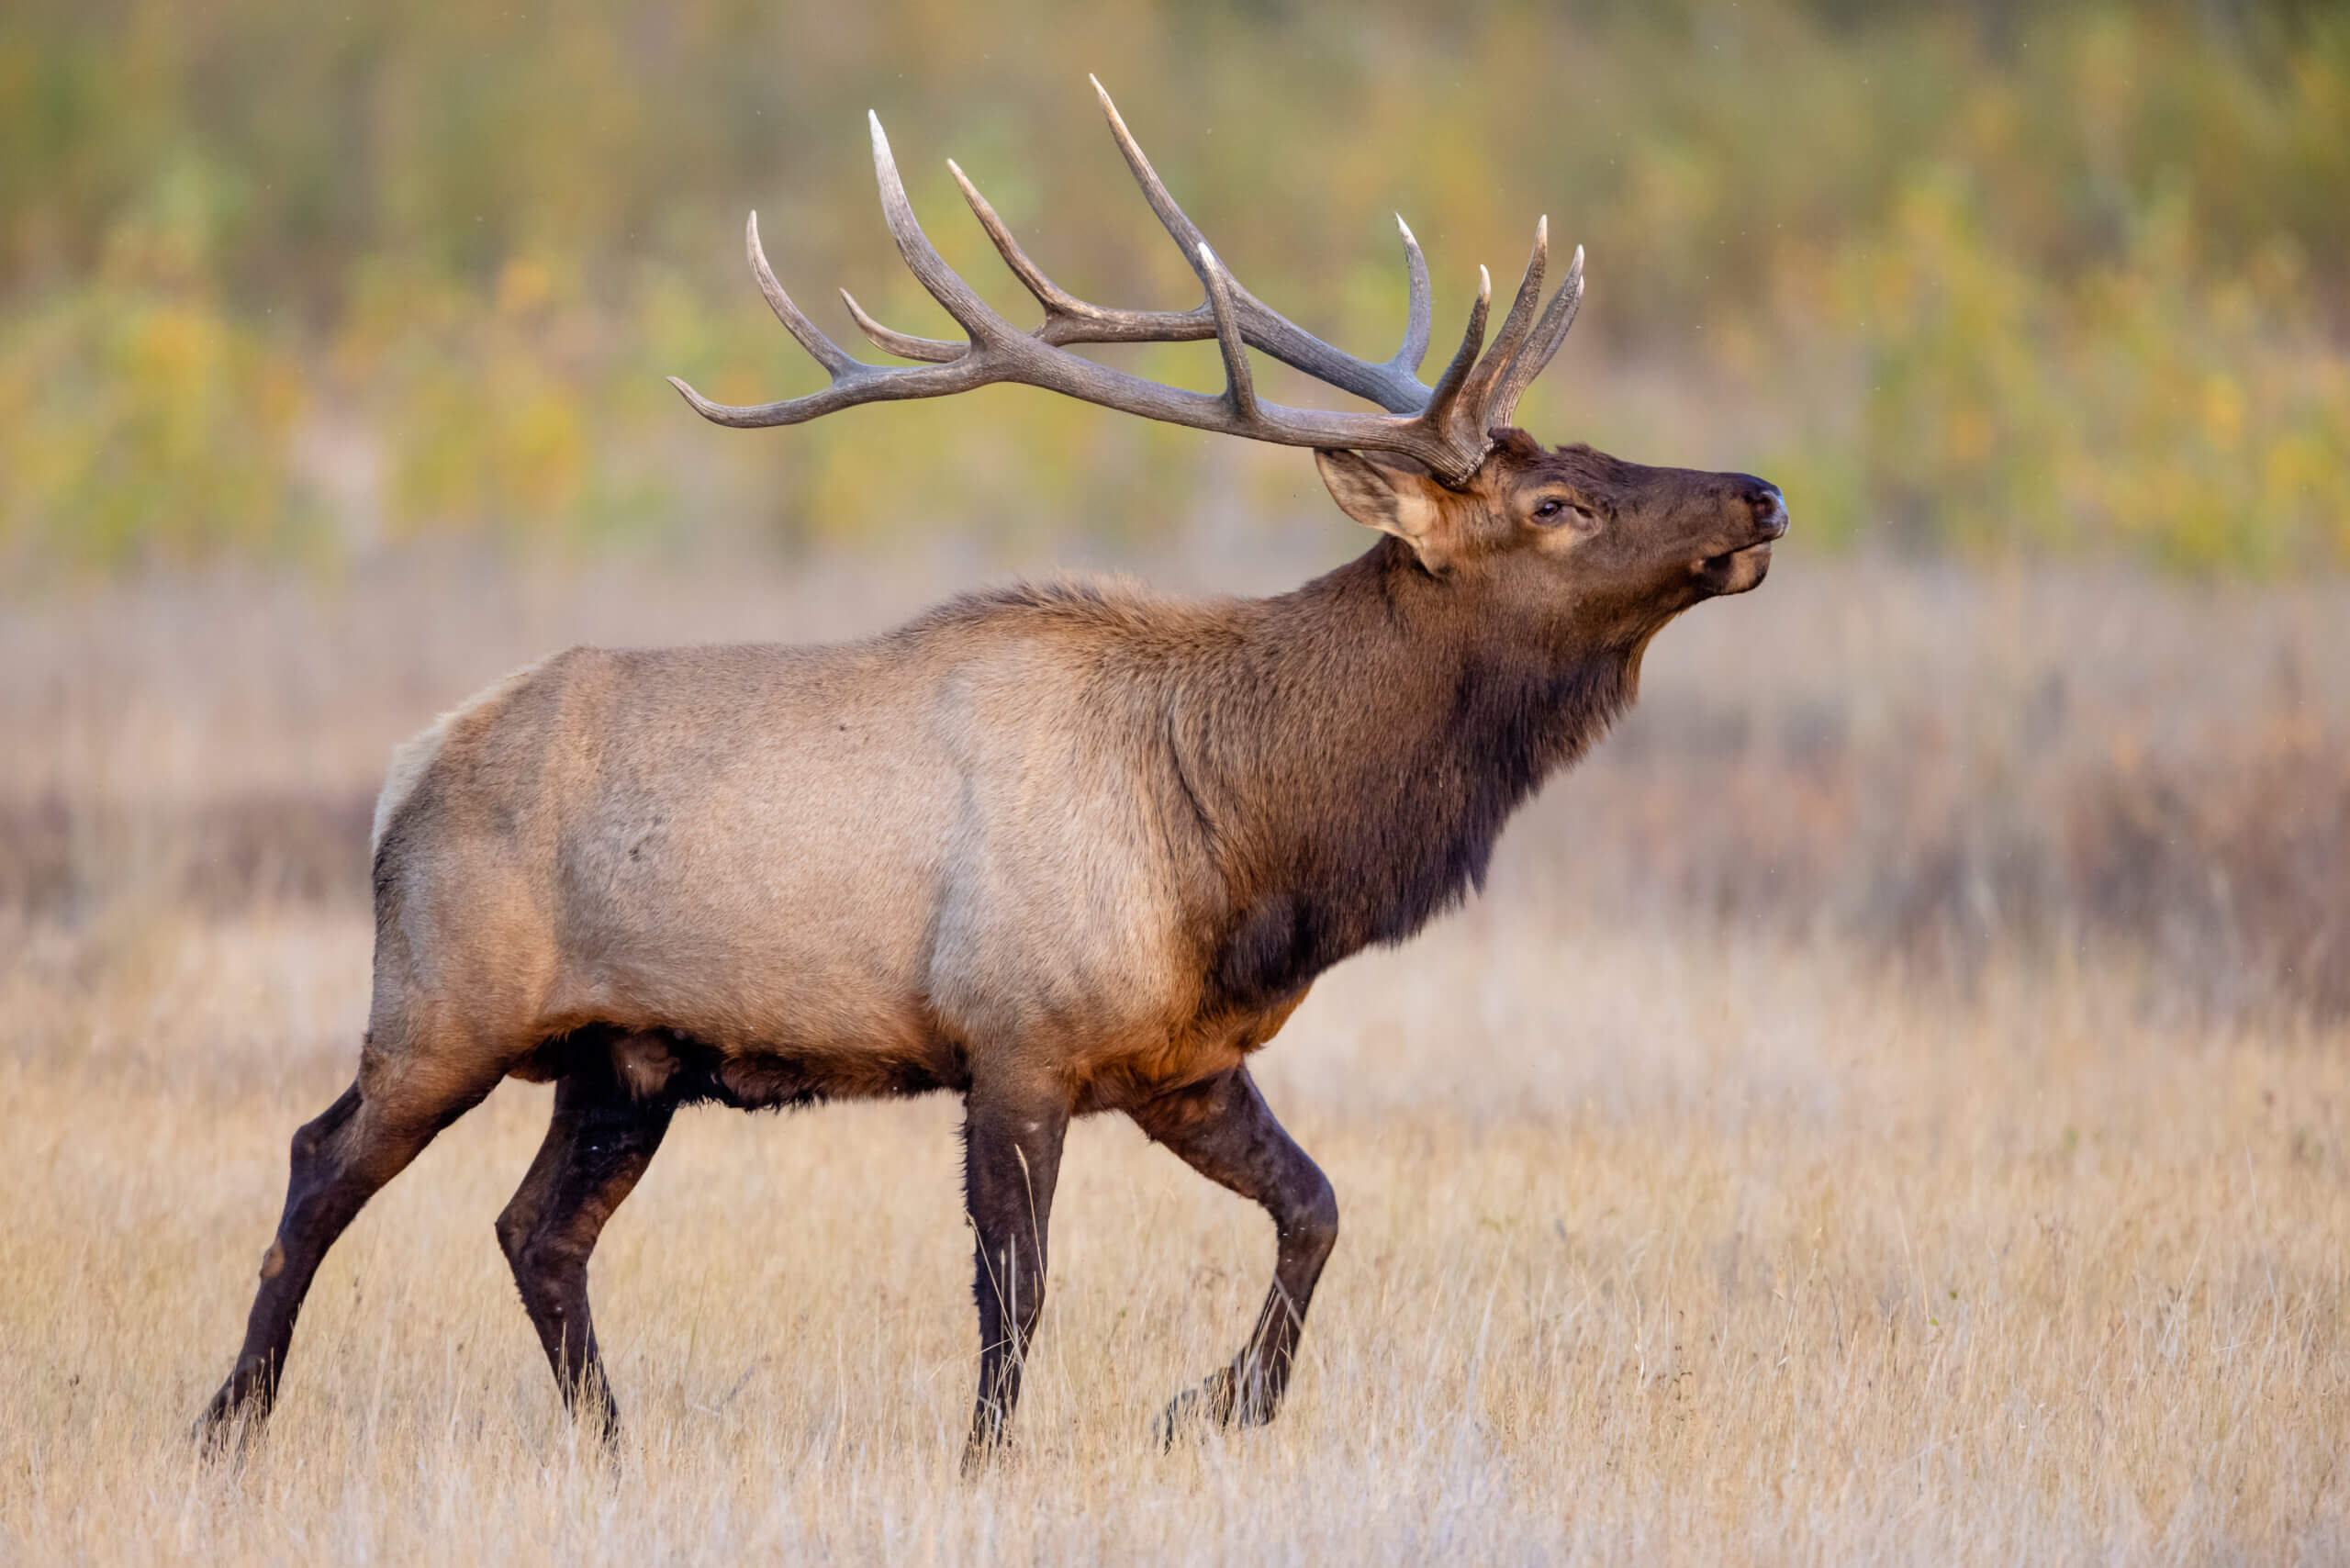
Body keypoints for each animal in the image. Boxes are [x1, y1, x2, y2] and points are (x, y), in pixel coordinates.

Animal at [197, 79, 1786, 1465]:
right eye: (1559, 502)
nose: (1760, 494)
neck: (1246, 843)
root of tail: (409, 769)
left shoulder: (1178, 1058)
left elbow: (1319, 1209)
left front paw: (1215, 1405)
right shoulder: (1014, 1035)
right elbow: (1014, 1290)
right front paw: (992, 1460)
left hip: (622, 1059)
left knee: (539, 1231)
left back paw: (610, 1446)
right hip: (441, 1006)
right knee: (318, 1166)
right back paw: (231, 1423)